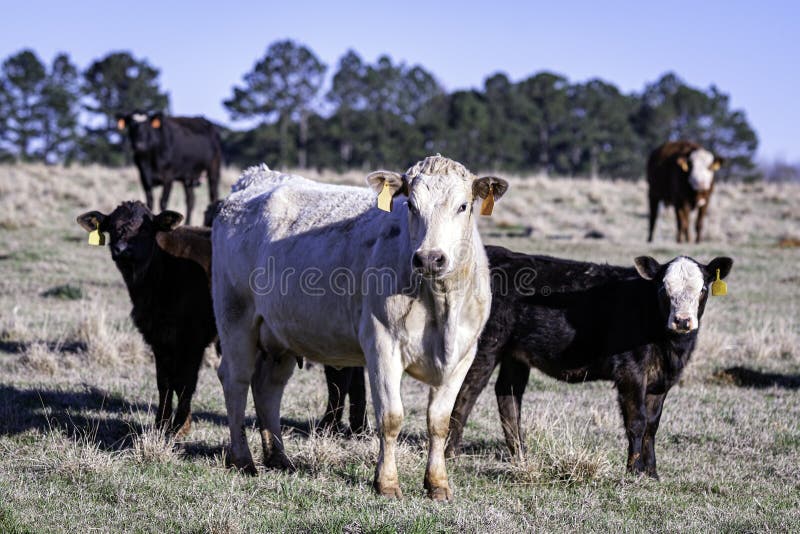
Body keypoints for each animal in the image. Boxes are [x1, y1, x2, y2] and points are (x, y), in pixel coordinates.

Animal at [77, 201, 217, 436]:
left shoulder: (193, 339)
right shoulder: (158, 336)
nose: (122, 249)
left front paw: (180, 427)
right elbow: (165, 382)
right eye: (112, 227)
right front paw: (161, 424)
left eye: (145, 229)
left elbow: (185, 383)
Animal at [212, 156, 508, 500]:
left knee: (267, 386)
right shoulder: (382, 344)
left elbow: (439, 422)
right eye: (411, 205)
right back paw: (243, 459)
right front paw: (387, 483)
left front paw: (438, 484)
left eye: (463, 206)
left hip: (280, 334)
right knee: (236, 381)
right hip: (235, 317)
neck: (440, 304)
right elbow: (391, 417)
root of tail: (255, 177)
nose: (429, 258)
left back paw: (279, 458)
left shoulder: (463, 355)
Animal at [446, 246, 733, 479]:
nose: (683, 321)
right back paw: (451, 454)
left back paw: (521, 456)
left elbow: (652, 425)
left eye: (703, 289)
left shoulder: (661, 380)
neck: (669, 348)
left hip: (514, 354)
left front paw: (652, 473)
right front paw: (633, 471)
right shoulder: (630, 372)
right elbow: (637, 422)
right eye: (664, 289)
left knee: (508, 395)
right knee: (466, 392)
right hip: (485, 345)